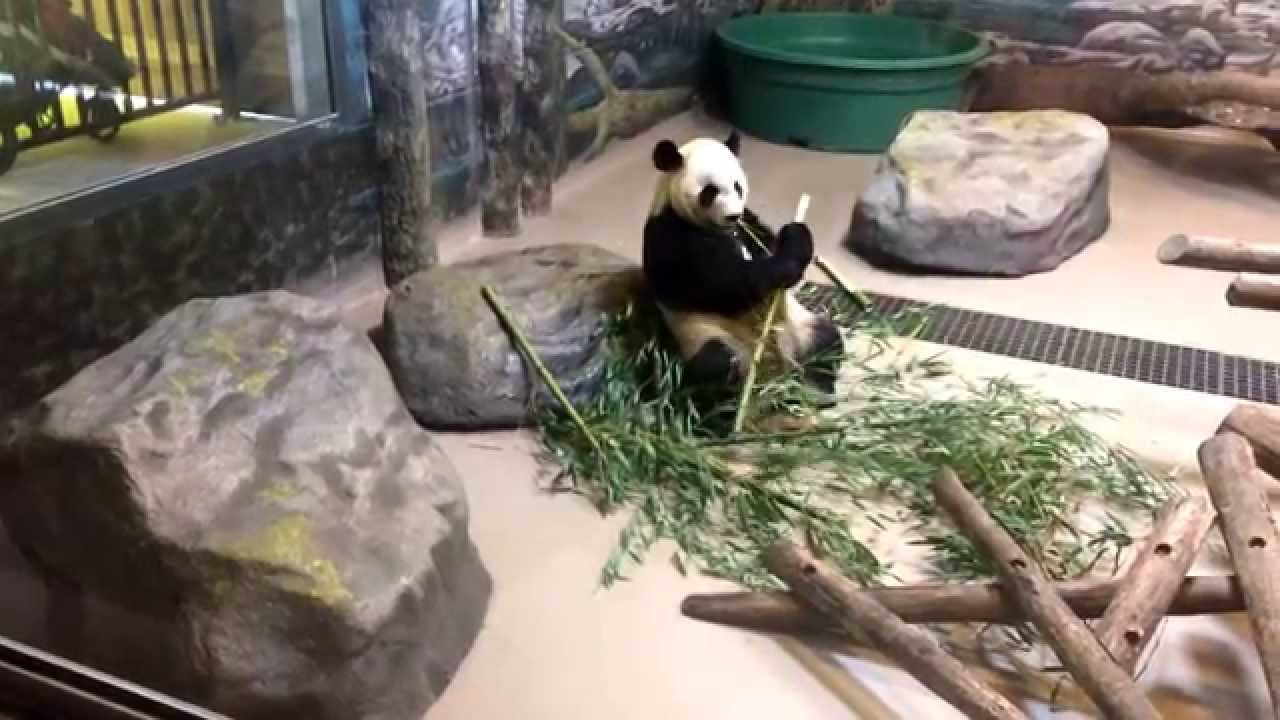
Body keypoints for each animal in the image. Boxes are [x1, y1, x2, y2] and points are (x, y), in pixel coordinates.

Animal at [642, 129, 843, 415]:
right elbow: (727, 284)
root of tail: (769, 372)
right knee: (715, 366)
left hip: (797, 327)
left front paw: (795, 232)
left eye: (737, 185)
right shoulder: (673, 235)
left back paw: (815, 392)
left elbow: (767, 245)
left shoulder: (748, 222)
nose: (732, 216)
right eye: (710, 191)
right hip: (704, 333)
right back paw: (728, 411)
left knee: (825, 340)